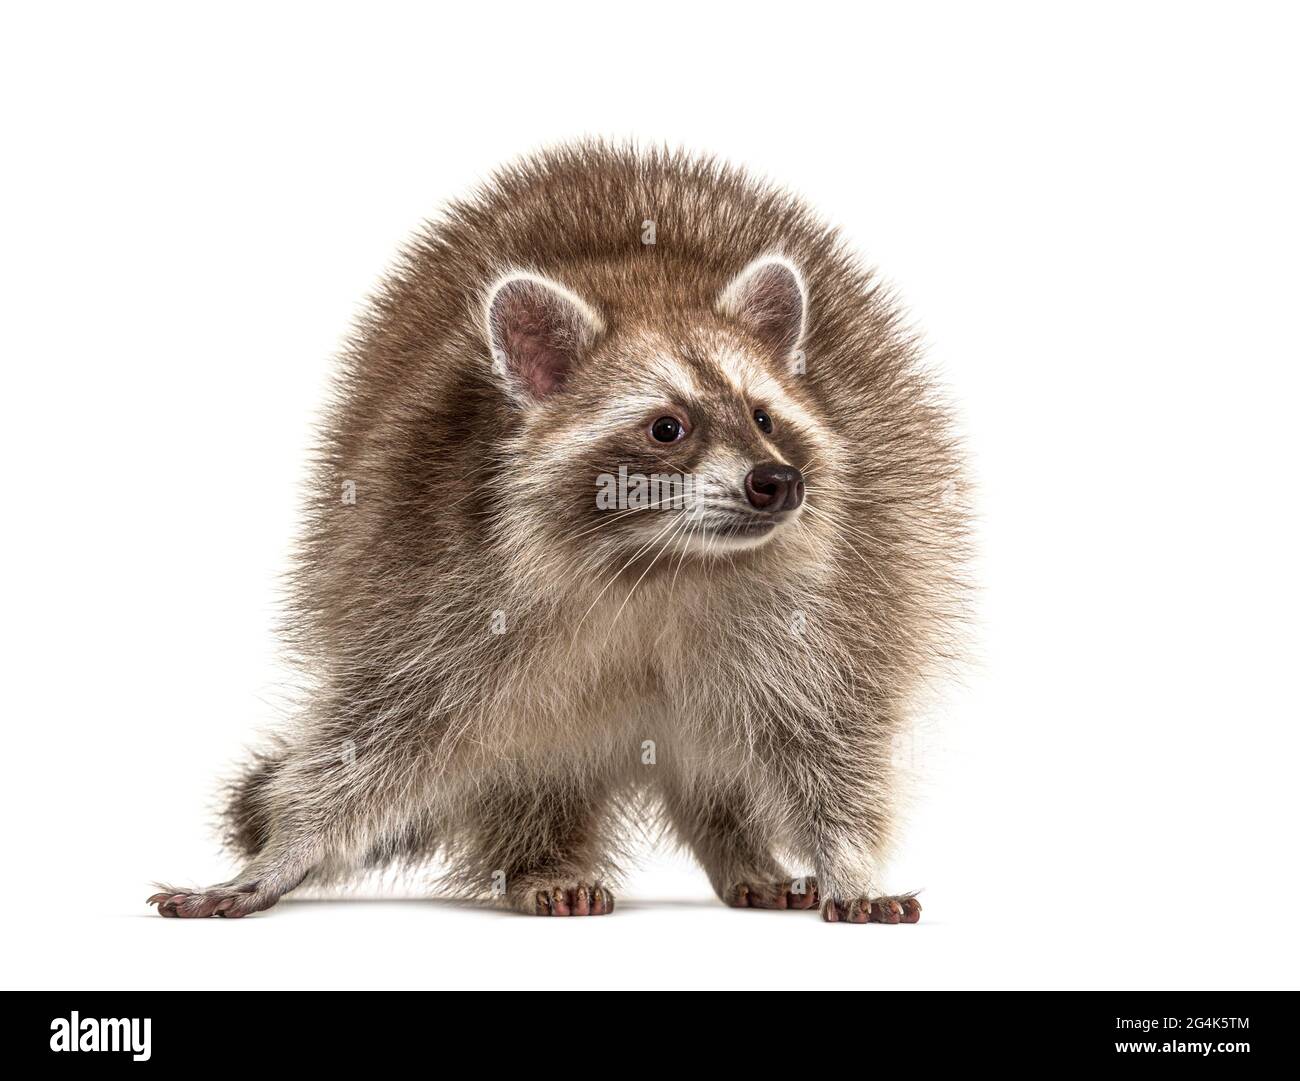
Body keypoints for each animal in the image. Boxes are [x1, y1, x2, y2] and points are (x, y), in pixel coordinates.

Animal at [150, 142, 967, 922]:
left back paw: (739, 848)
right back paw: (545, 862)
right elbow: (381, 731)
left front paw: (848, 862)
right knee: (527, 757)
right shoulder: (429, 568)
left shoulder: (831, 599)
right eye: (667, 427)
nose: (779, 482)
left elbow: (828, 734)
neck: (662, 558)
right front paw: (283, 853)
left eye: (764, 417)